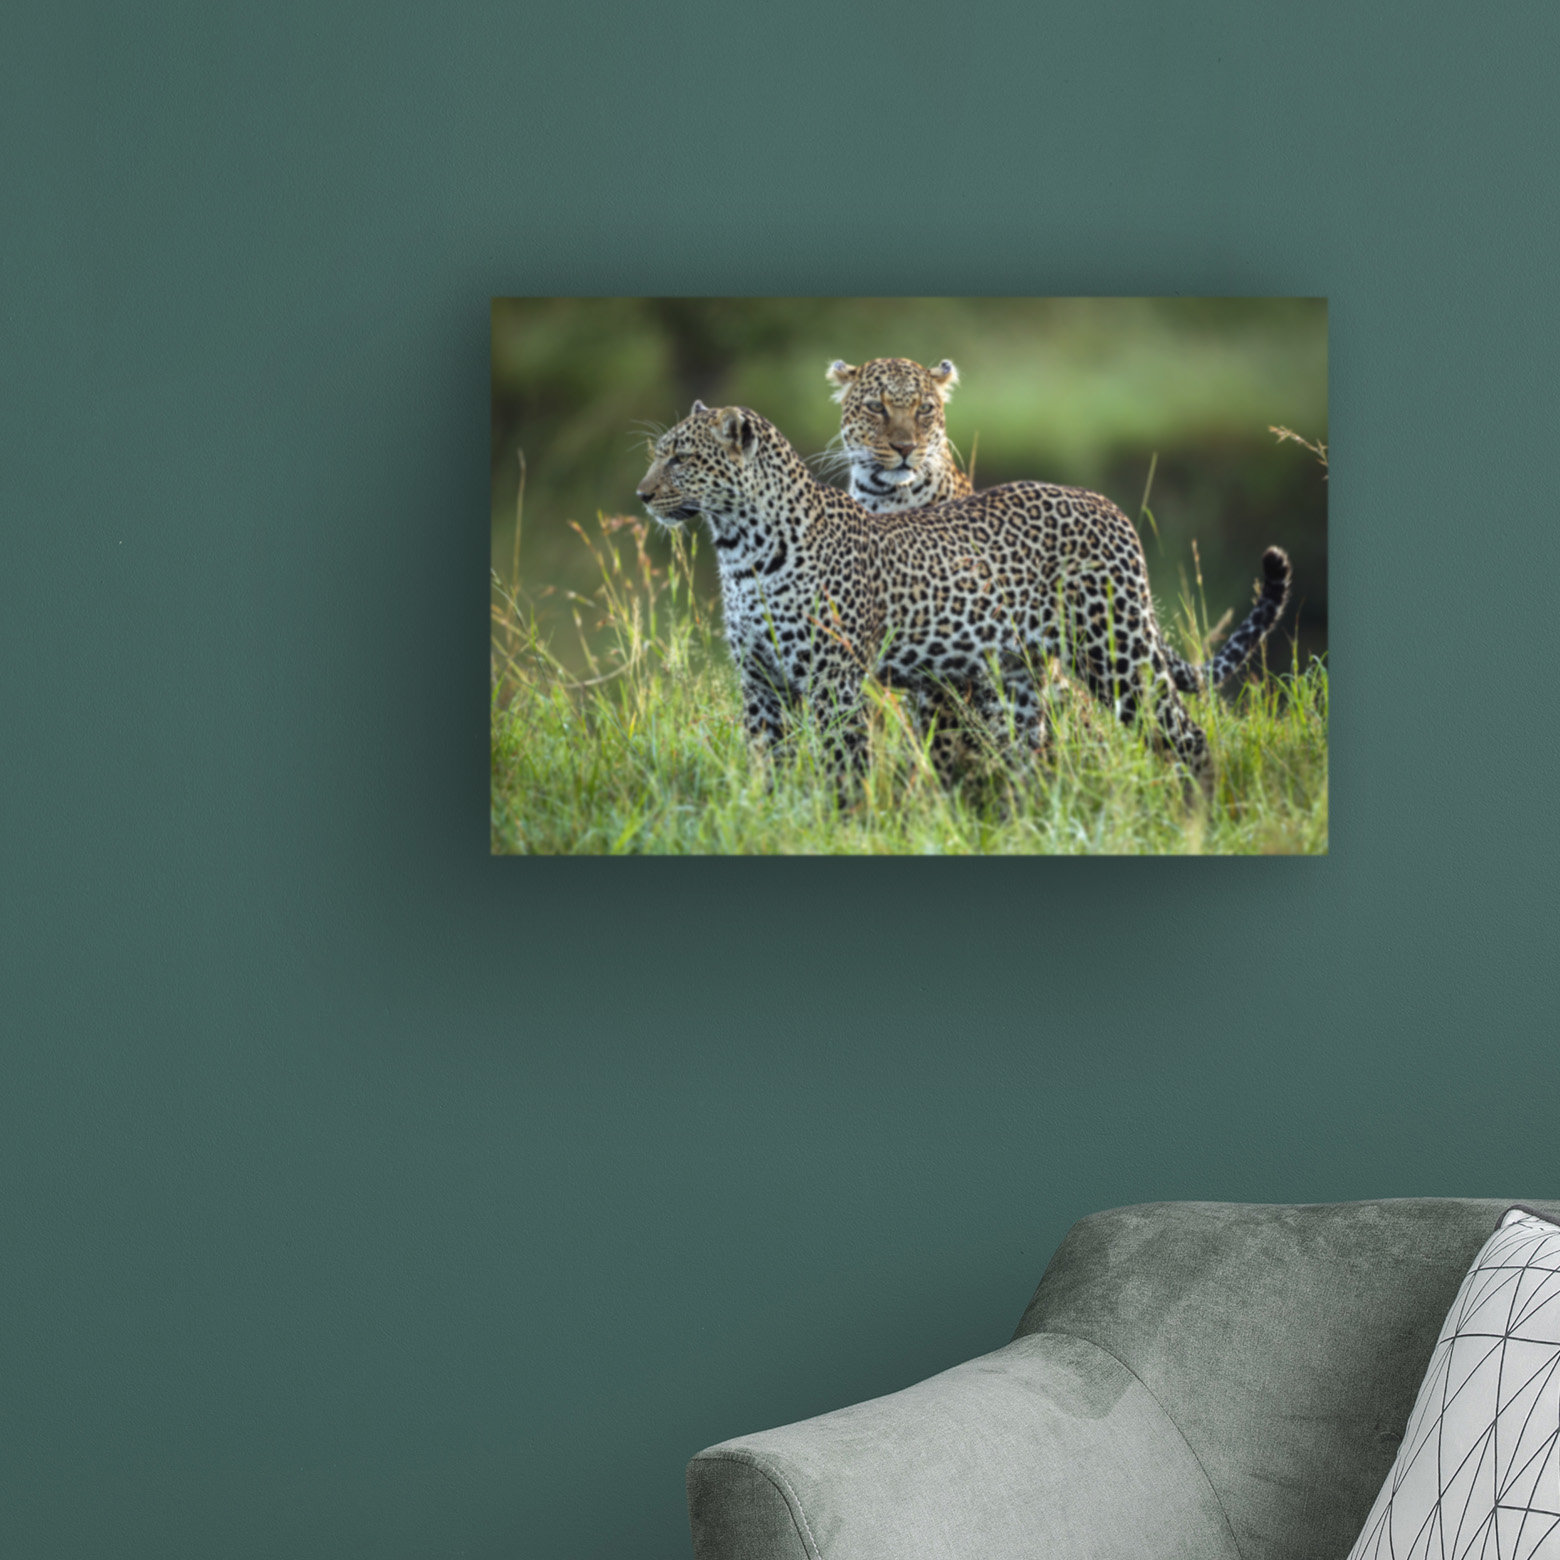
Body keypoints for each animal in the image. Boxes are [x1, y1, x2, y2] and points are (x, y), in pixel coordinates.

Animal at [637, 402, 1292, 794]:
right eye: (659, 453)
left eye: (682, 458)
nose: (642, 494)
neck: (739, 550)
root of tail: (1109, 506)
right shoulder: (761, 682)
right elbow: (765, 765)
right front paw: (773, 815)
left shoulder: (834, 681)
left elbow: (845, 771)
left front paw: (842, 827)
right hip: (1022, 675)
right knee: (1030, 755)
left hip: (1117, 654)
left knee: (1187, 736)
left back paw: (1199, 816)